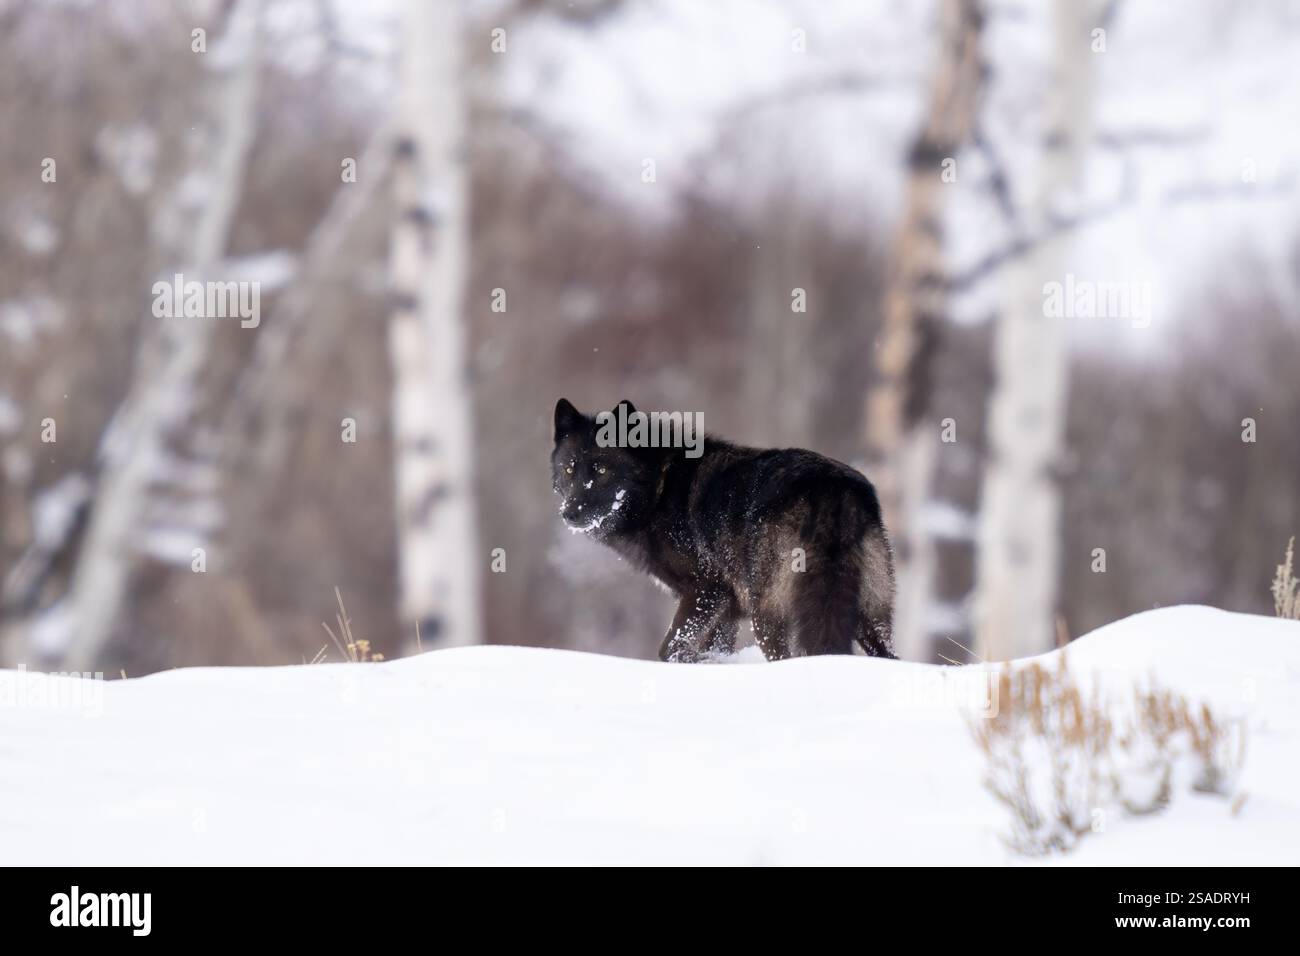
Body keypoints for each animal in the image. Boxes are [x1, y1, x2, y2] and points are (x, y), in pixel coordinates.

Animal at [551, 398, 896, 662]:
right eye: (569, 469)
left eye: (601, 470)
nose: (569, 513)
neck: (660, 486)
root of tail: (832, 488)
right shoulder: (725, 610)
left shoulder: (708, 589)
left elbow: (671, 647)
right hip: (870, 615)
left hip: (767, 616)